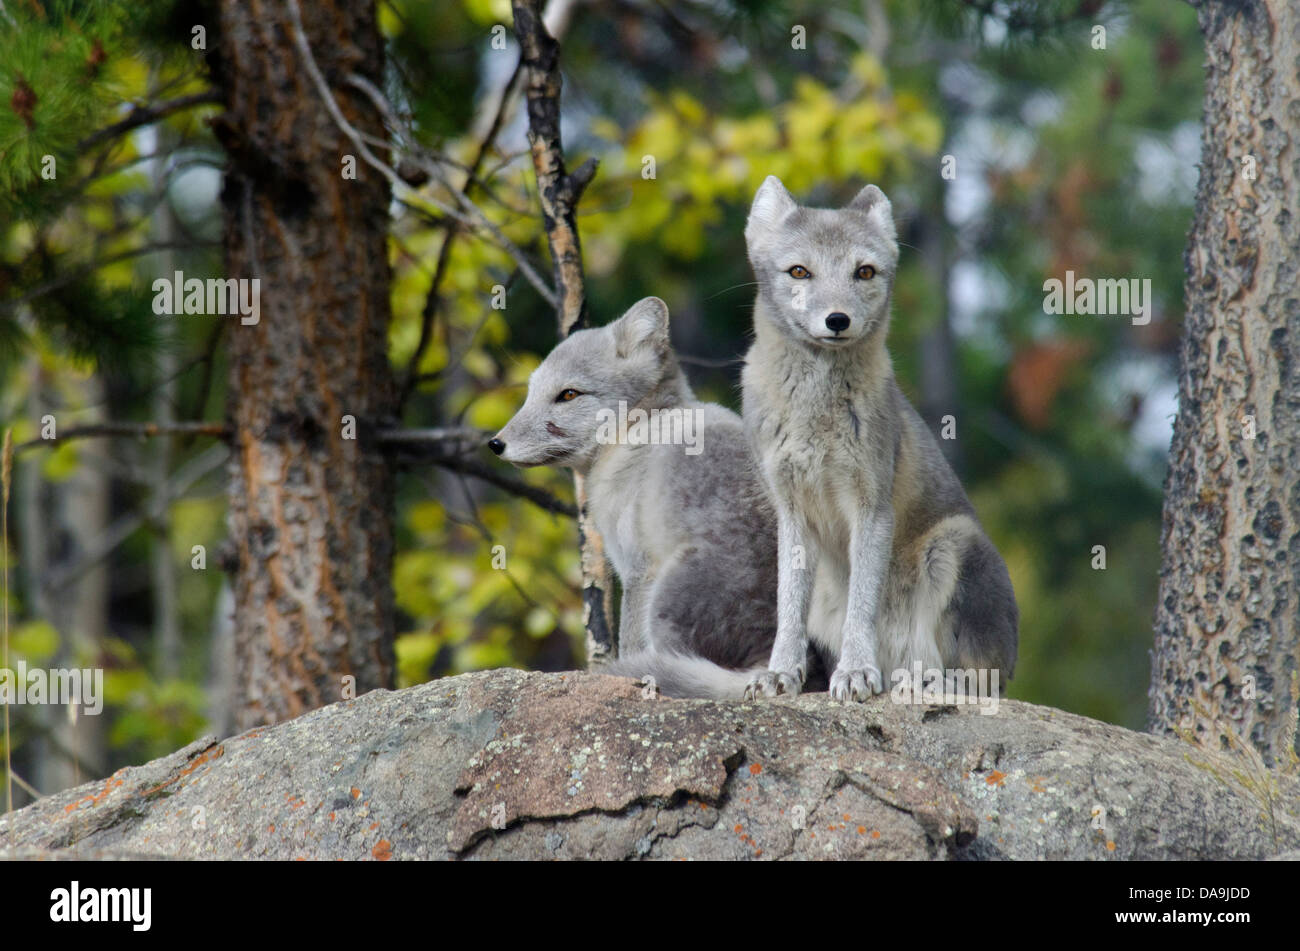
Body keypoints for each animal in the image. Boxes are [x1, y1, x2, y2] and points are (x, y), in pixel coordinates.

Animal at [488, 296, 828, 698]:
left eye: (568, 395)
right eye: (530, 393)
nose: (495, 444)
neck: (641, 427)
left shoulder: (635, 568)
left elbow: (628, 642)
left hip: (665, 597)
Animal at [739, 176, 1018, 703]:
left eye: (863, 272)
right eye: (800, 271)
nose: (837, 320)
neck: (815, 414)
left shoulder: (871, 506)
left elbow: (861, 608)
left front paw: (854, 673)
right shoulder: (792, 511)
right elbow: (789, 609)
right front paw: (780, 674)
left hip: (952, 543)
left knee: (979, 681)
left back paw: (929, 678)